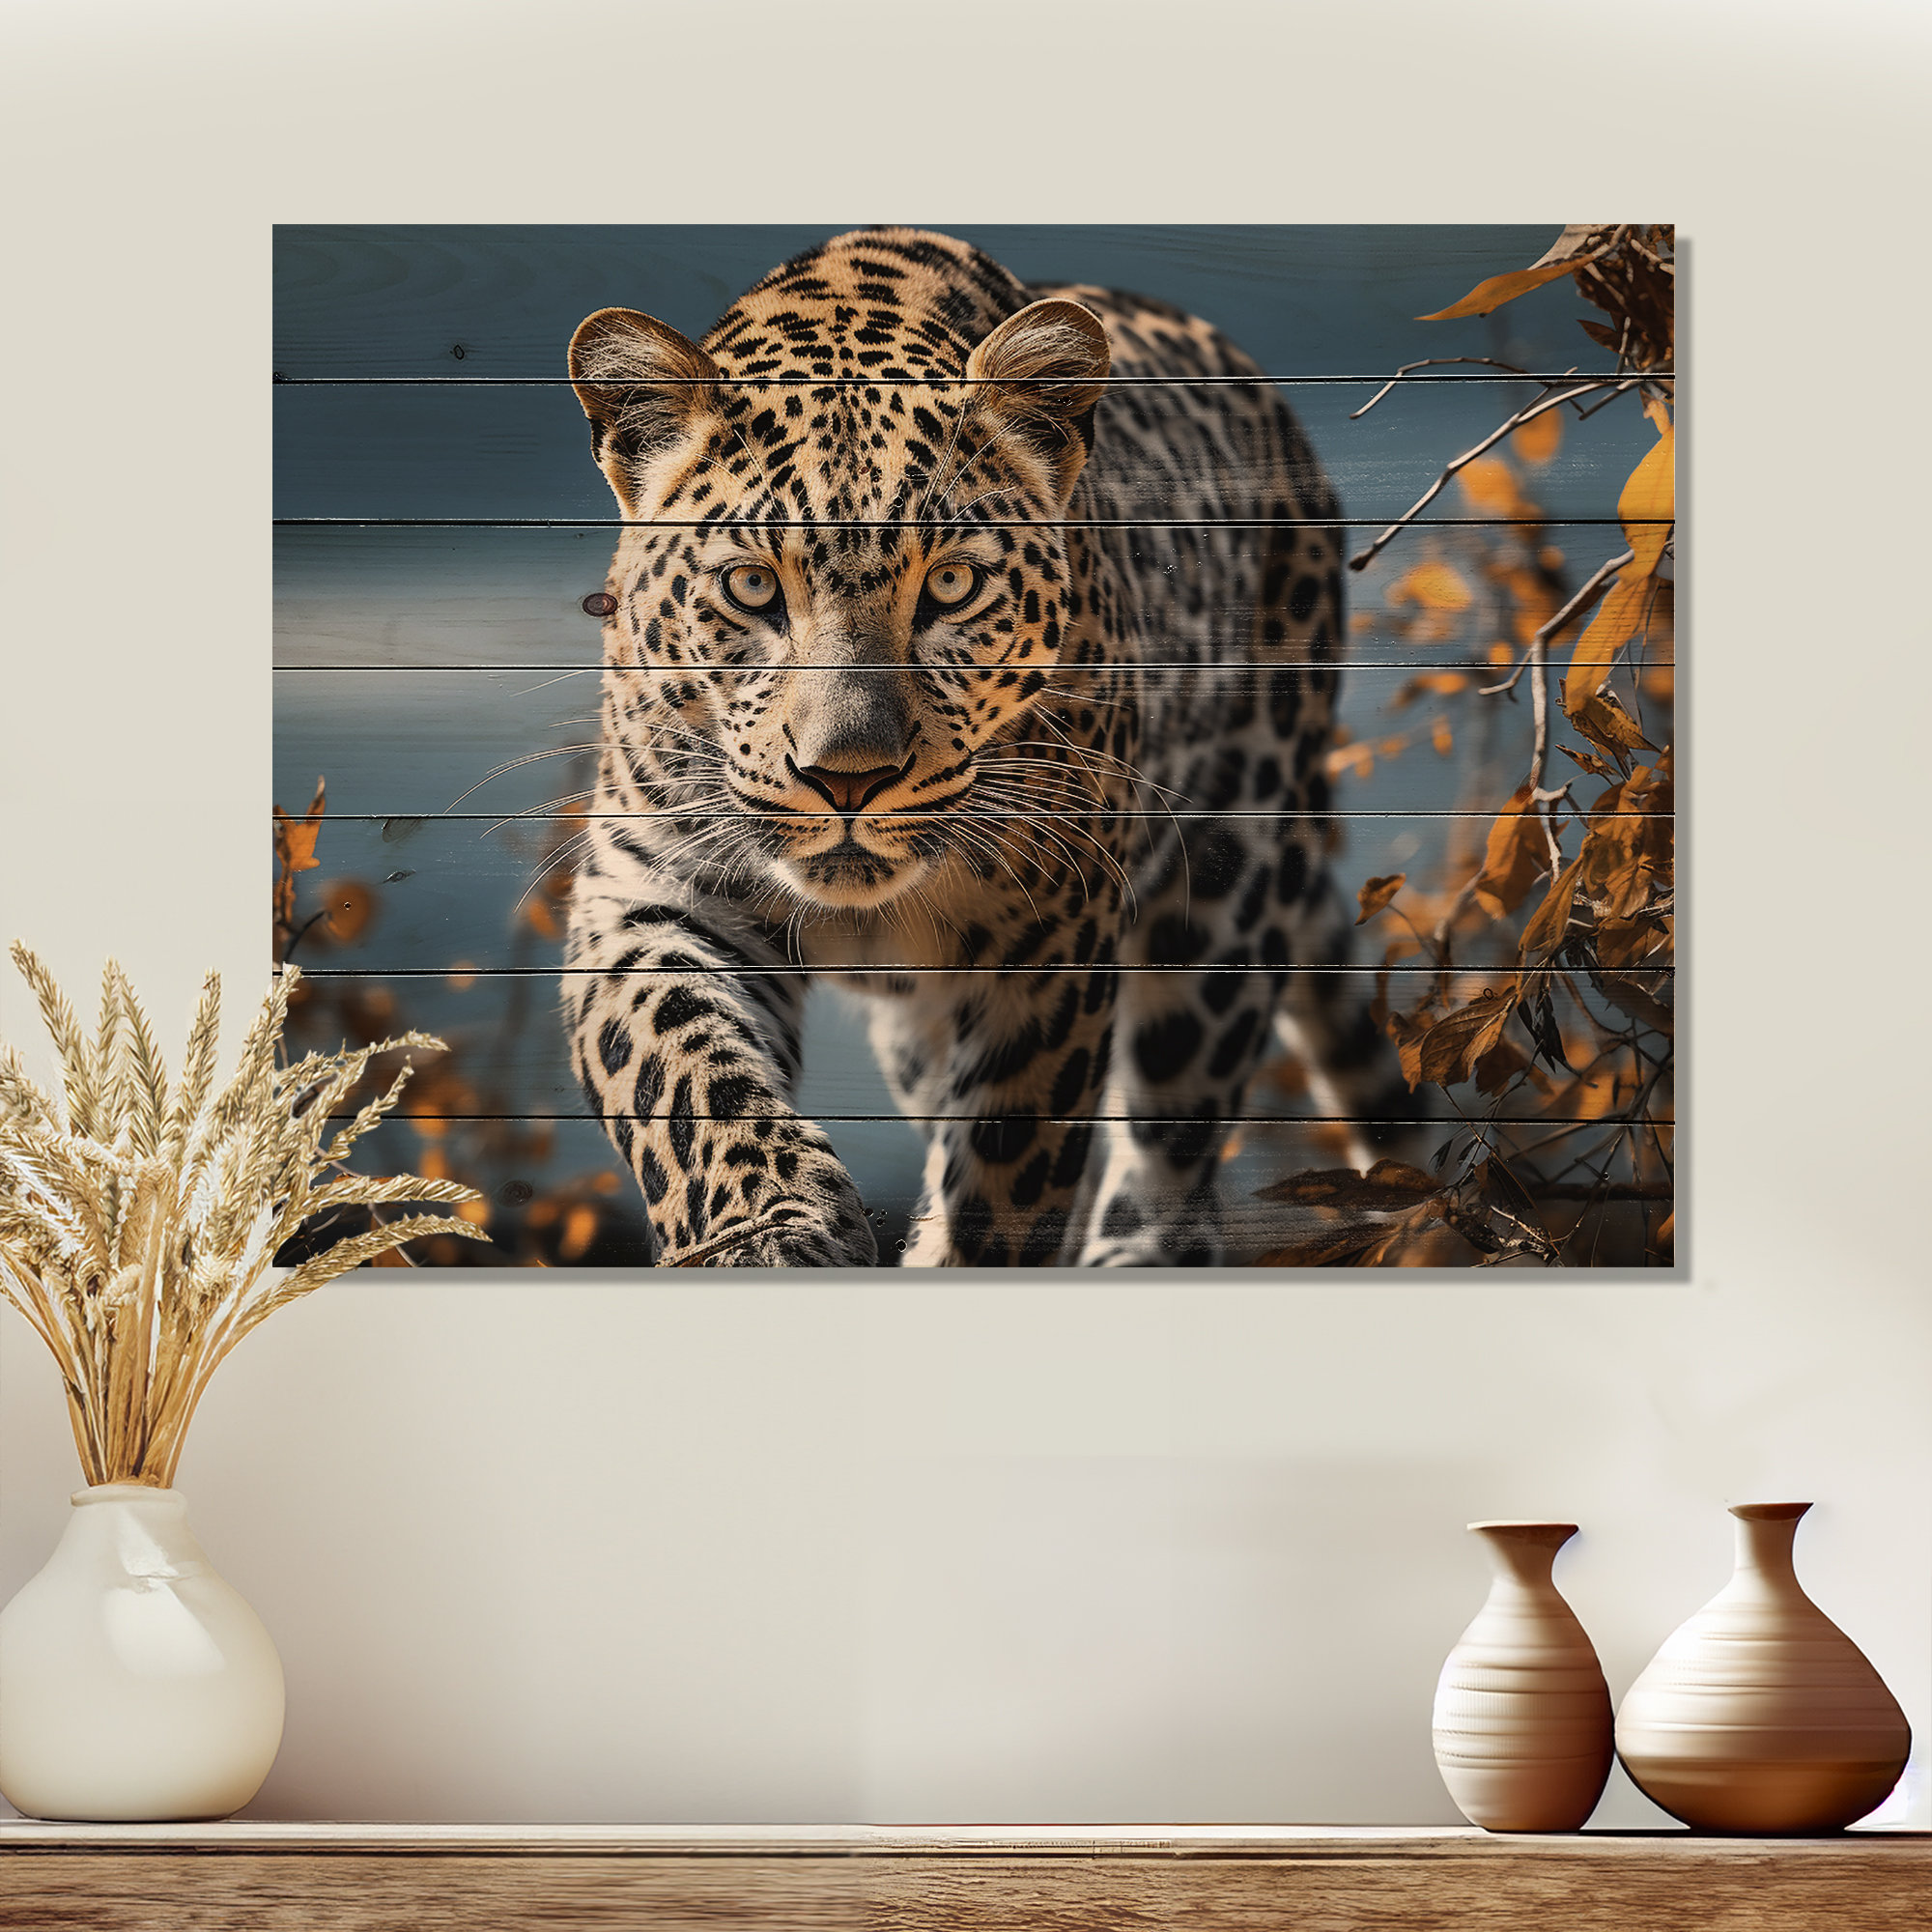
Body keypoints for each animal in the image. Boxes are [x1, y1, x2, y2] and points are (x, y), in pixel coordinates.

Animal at [562, 227, 1393, 1267]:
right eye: (751, 587)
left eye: (952, 585)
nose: (848, 780)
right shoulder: (655, 885)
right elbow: (678, 1067)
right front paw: (764, 1230)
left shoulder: (1052, 938)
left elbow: (1007, 1166)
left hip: (1227, 878)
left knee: (1173, 1150)